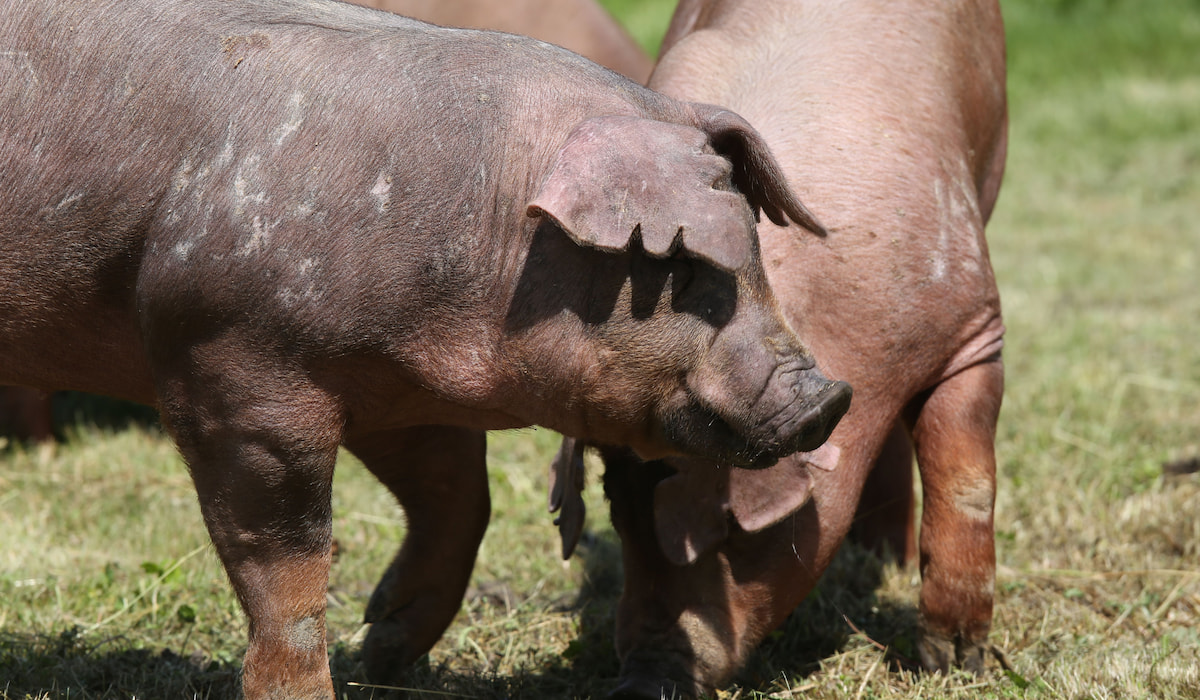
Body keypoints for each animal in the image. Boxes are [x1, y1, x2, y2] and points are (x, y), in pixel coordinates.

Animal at [594, 0, 1008, 696]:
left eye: (730, 528)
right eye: (617, 510)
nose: (640, 681)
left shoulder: (973, 321)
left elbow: (964, 474)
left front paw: (953, 663)